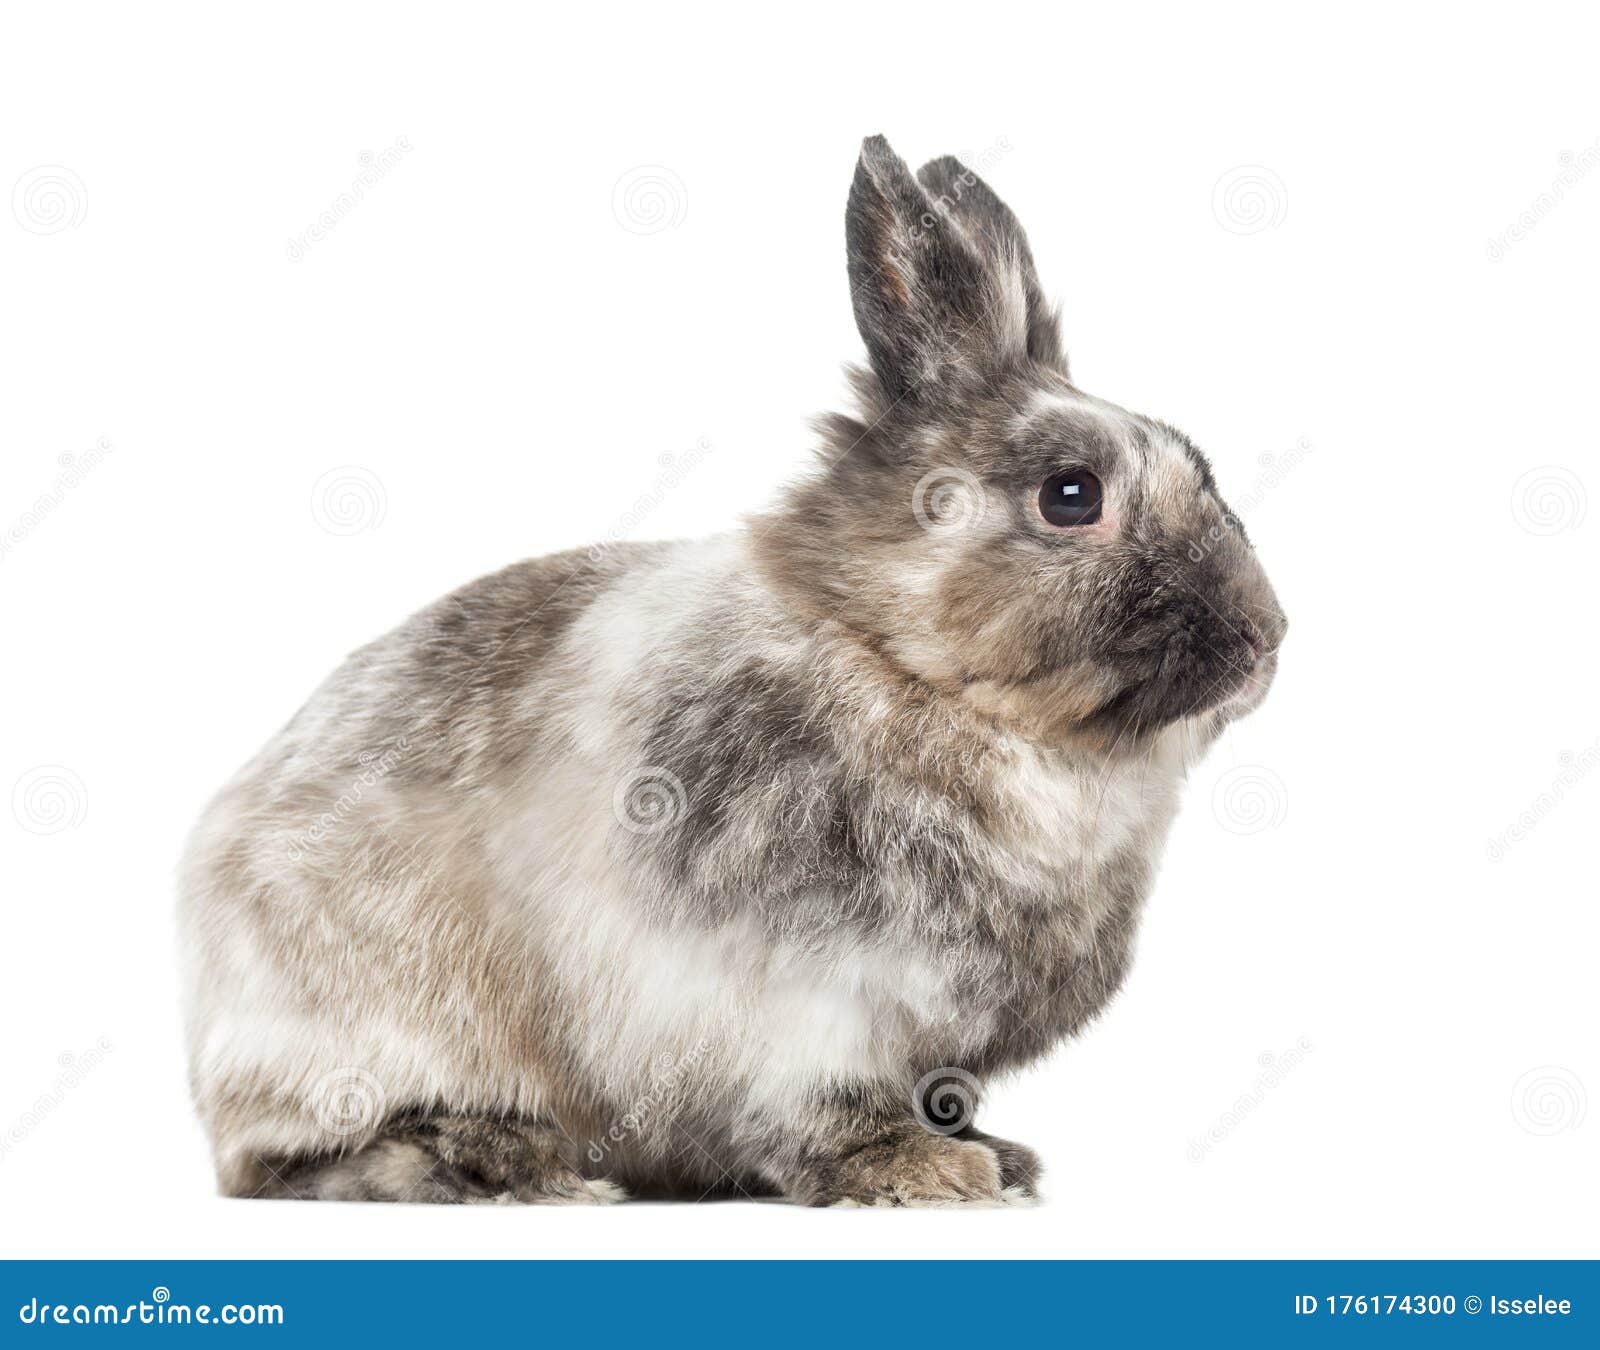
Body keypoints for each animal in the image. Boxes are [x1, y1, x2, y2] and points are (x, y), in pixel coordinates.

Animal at [178, 134, 1285, 1207]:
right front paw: (921, 1175)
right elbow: (823, 1107)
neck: (903, 668)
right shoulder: (790, 1003)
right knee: (300, 1157)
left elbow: (940, 1094)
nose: (1266, 636)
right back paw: (505, 1163)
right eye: (1070, 494)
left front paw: (995, 1160)